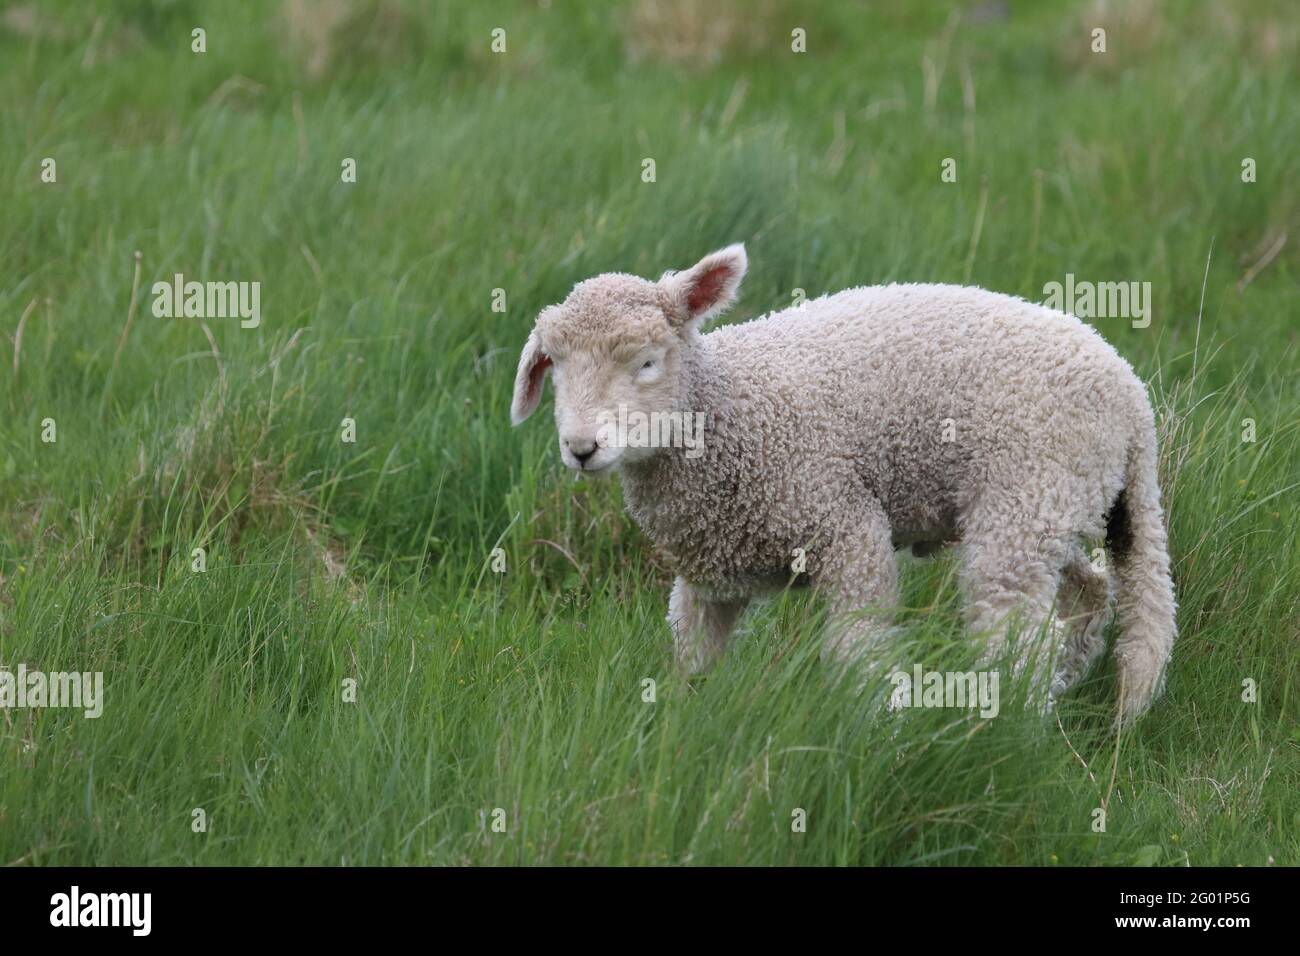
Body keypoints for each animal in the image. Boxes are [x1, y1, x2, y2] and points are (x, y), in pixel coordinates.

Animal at [510, 244, 1176, 723]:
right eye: (554, 366)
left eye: (647, 362)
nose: (582, 449)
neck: (728, 406)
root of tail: (1129, 395)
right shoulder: (709, 575)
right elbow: (694, 659)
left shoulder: (843, 525)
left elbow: (858, 653)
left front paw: (873, 734)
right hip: (1059, 503)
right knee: (1092, 591)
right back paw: (1069, 686)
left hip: (1027, 492)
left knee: (1017, 638)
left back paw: (1007, 732)